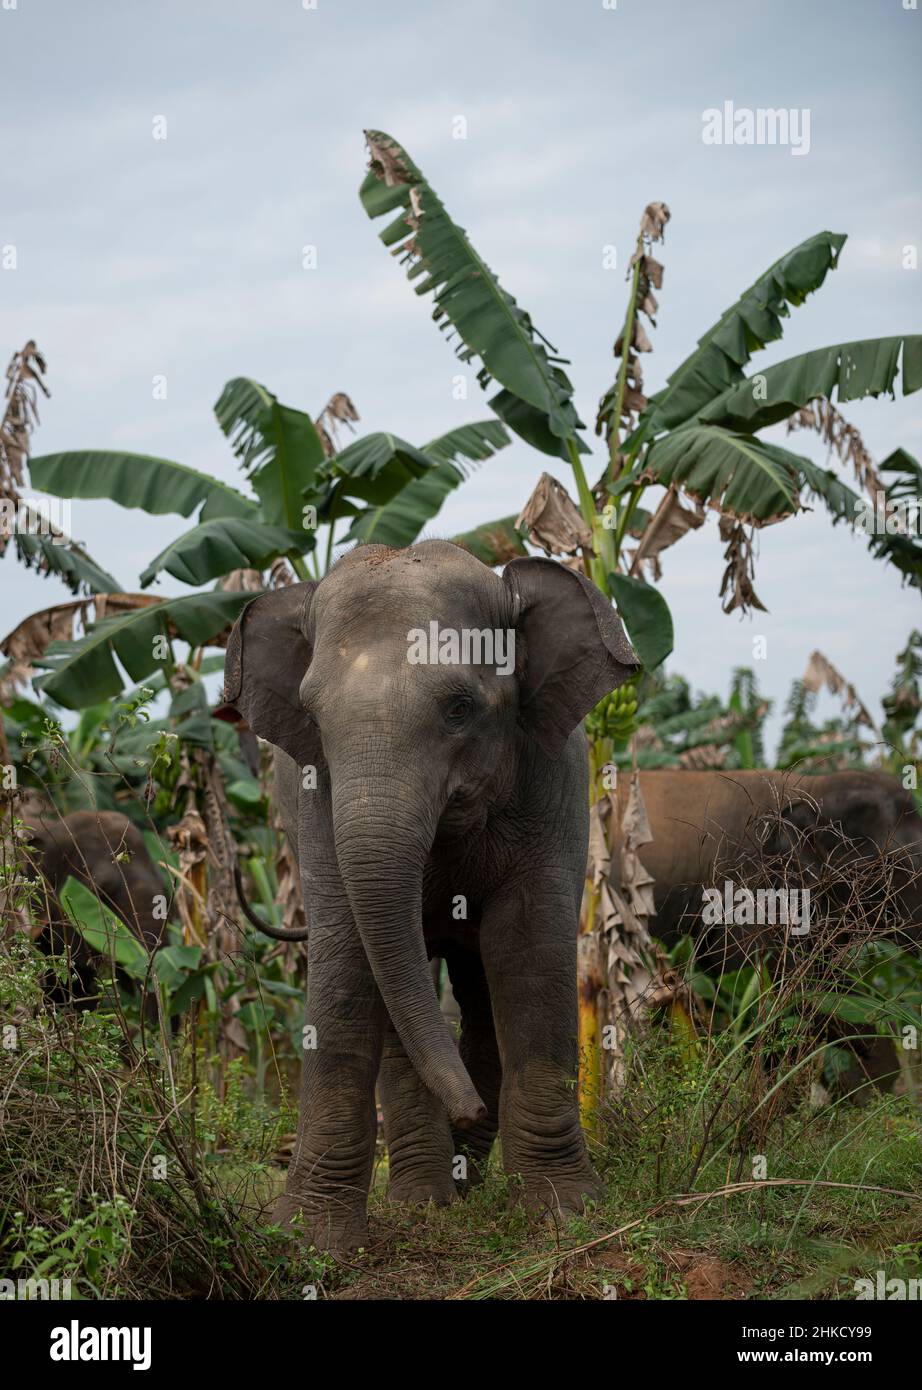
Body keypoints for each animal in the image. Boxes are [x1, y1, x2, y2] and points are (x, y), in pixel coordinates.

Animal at [225, 539, 638, 1253]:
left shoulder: (553, 780)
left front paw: (565, 1214)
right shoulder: (316, 802)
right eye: (313, 716)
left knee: (479, 993)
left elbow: (529, 952)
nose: (465, 1106)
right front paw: (309, 1240)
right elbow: (348, 959)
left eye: (459, 708)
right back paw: (427, 1198)